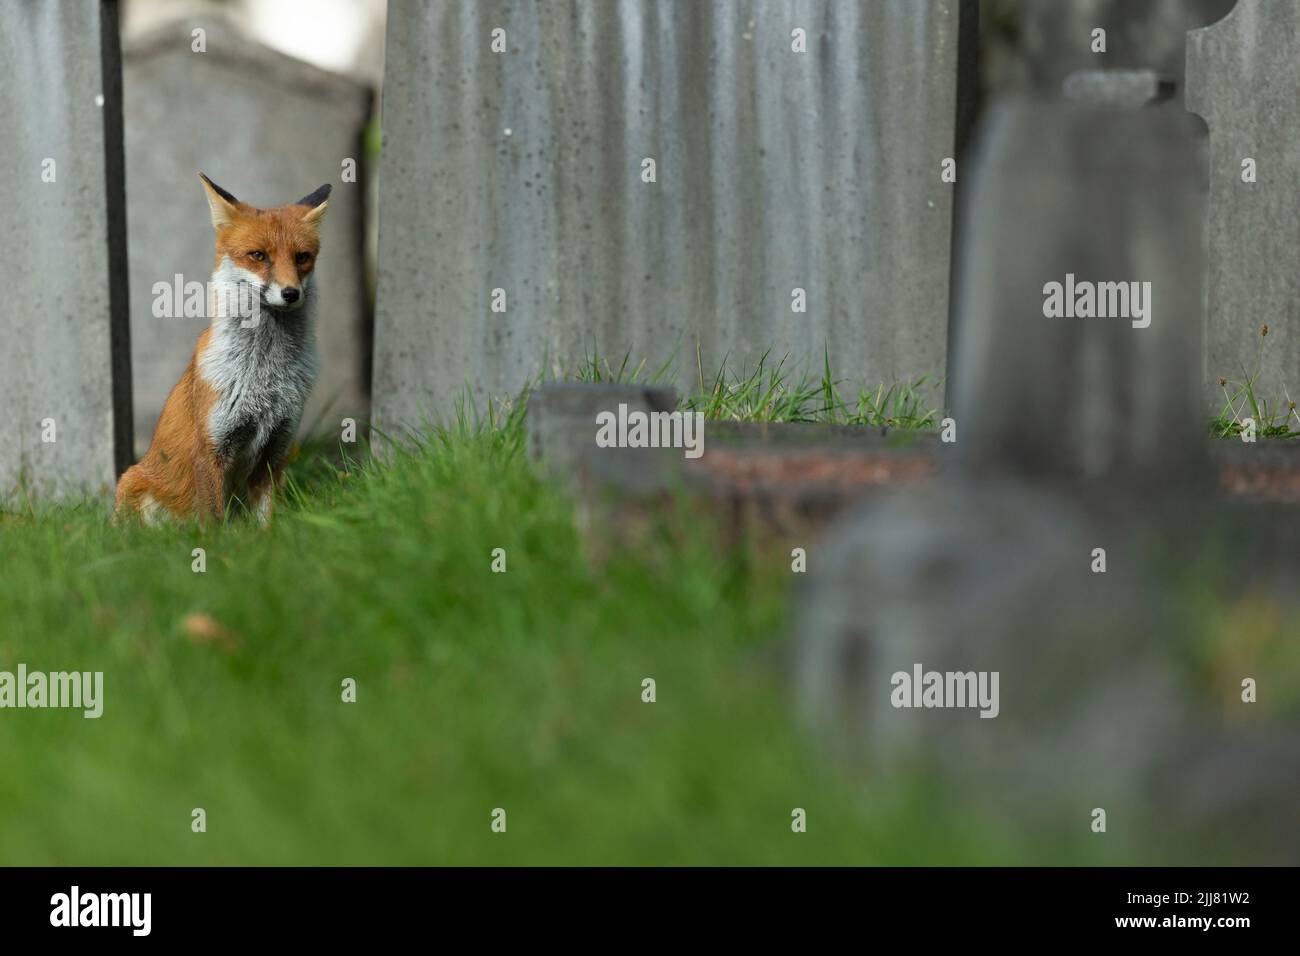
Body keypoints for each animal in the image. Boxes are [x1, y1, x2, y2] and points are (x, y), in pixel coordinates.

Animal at [114, 173, 330, 525]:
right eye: (258, 255)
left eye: (302, 257)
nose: (290, 293)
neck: (266, 373)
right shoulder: (211, 449)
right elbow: (214, 523)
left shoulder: (276, 449)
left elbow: (265, 524)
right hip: (133, 484)